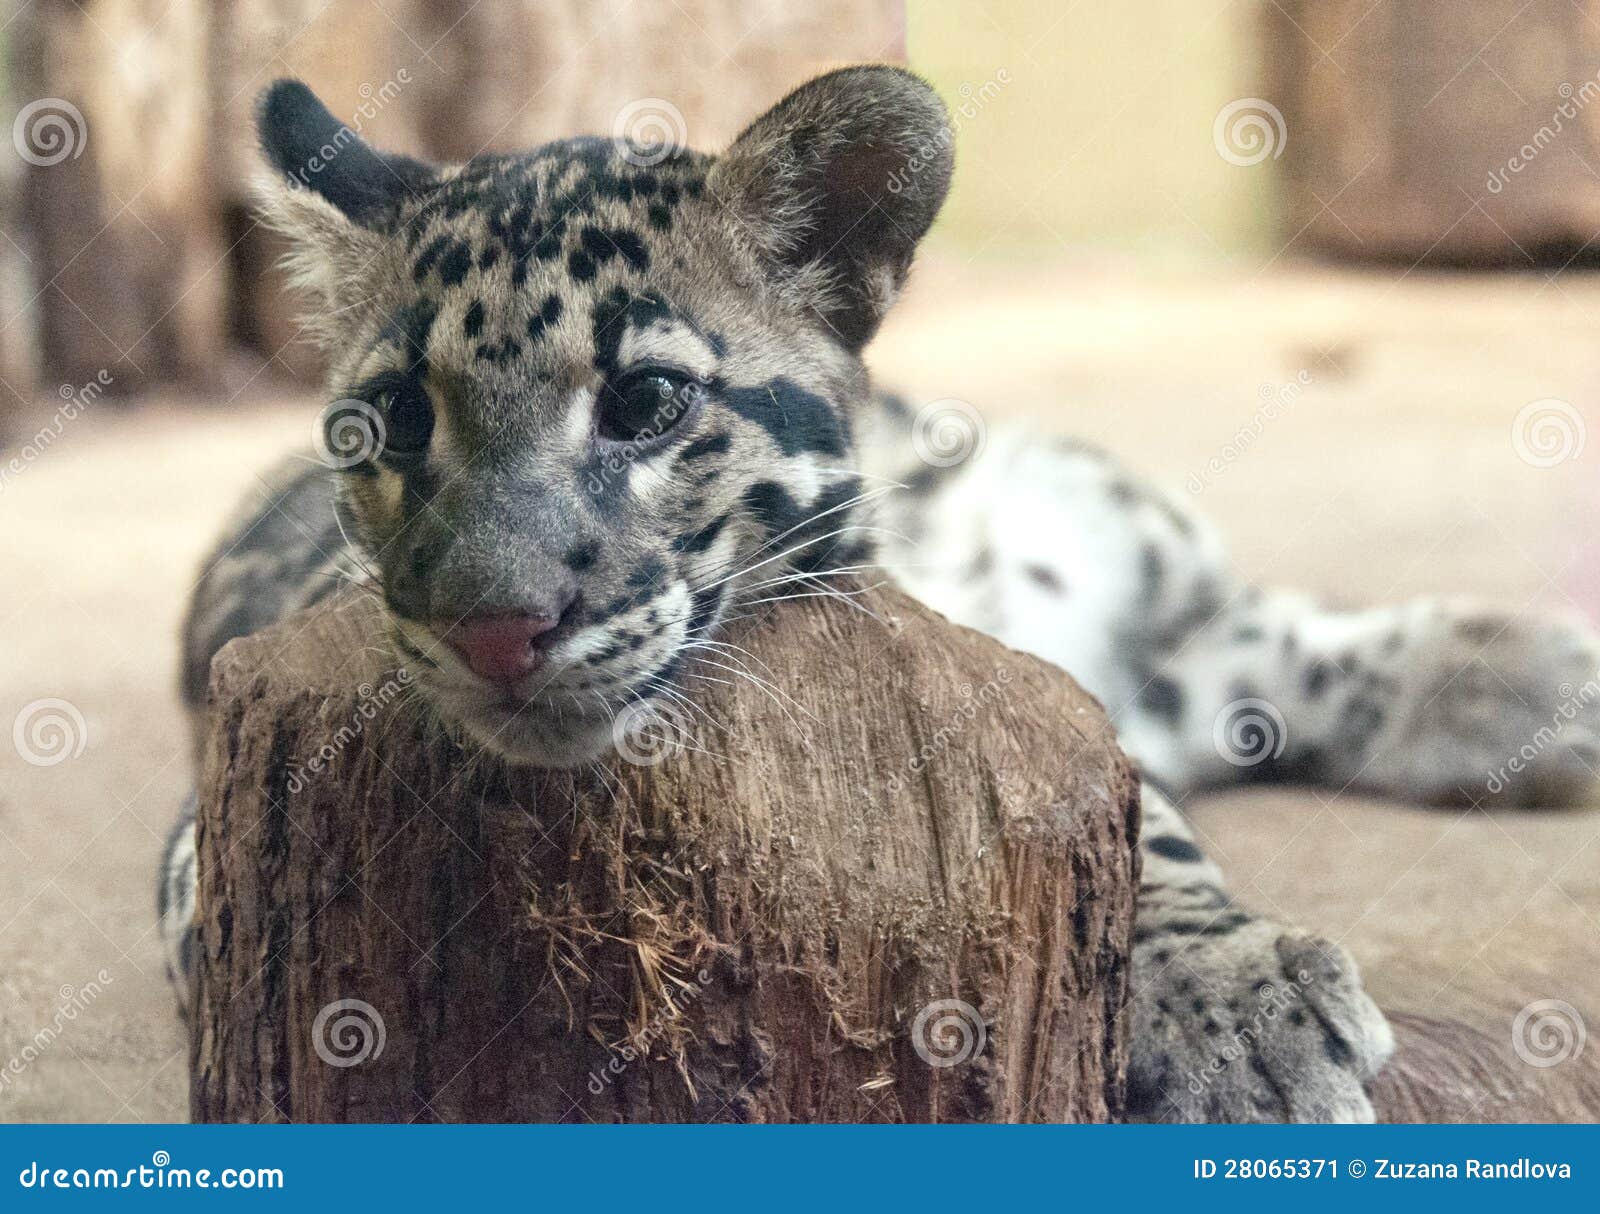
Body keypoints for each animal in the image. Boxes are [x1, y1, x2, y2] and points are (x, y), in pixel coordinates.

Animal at [158, 67, 1600, 1123]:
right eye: (393, 422)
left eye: (646, 402)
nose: (492, 628)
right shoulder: (206, 856)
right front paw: (1229, 1007)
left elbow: (1174, 785)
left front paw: (1227, 996)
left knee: (1252, 632)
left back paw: (1533, 675)